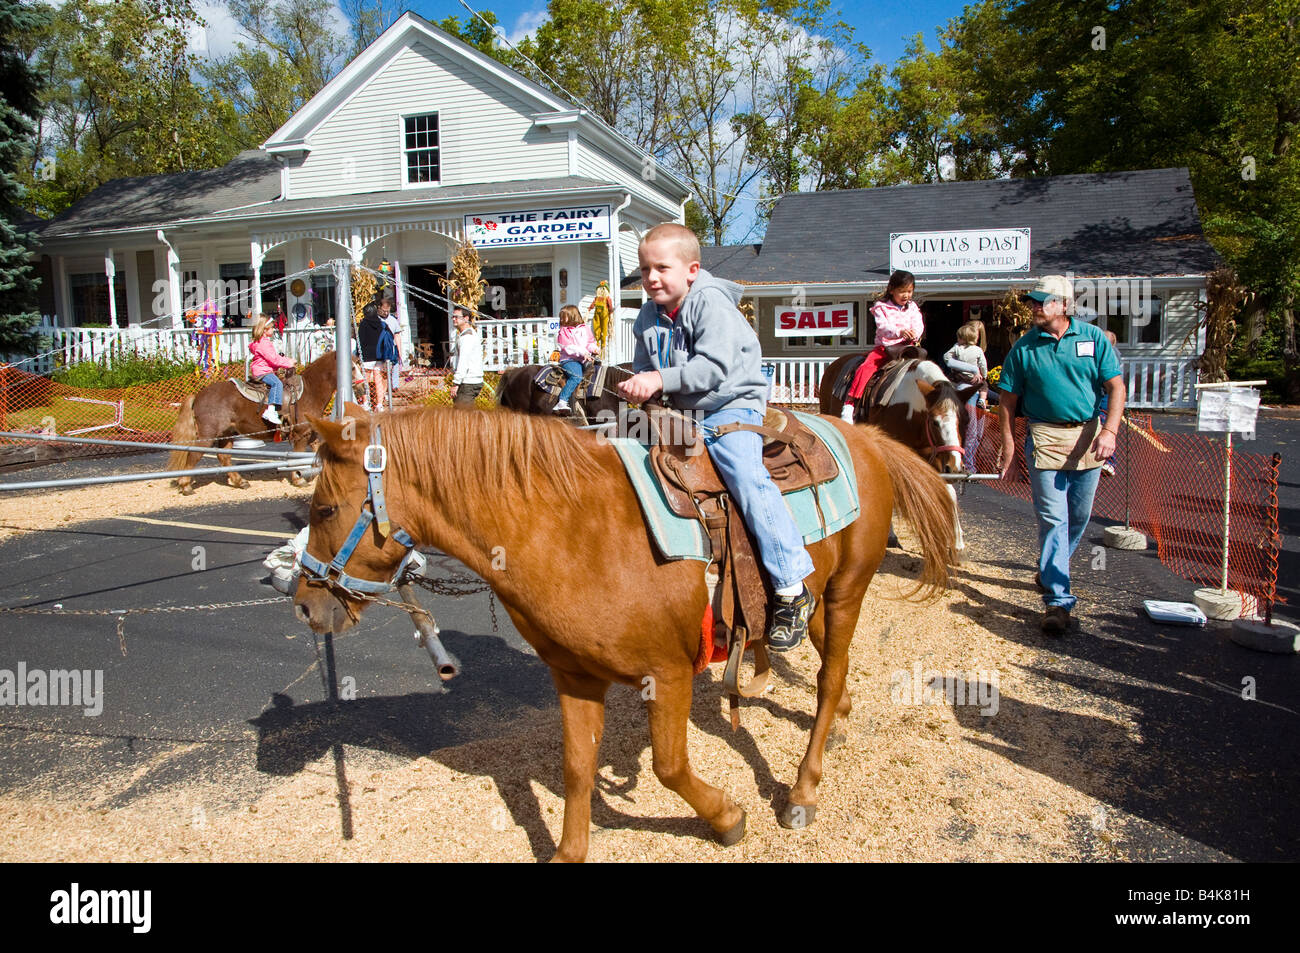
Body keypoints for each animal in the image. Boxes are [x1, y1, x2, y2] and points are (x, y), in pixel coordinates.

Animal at [167, 350, 353, 495]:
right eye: (353, 366)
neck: (309, 392)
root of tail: (198, 396)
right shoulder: (301, 434)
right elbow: (298, 455)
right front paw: (298, 480)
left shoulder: (311, 432)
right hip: (208, 435)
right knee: (194, 455)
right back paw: (185, 485)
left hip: (227, 433)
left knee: (223, 456)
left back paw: (239, 481)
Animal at [292, 402, 957, 862]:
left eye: (324, 509)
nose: (304, 605)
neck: (573, 530)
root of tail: (866, 438)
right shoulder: (575, 678)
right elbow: (576, 769)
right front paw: (569, 852)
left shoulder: (669, 673)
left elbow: (668, 767)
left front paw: (726, 818)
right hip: (820, 599)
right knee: (831, 672)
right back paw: (837, 723)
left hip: (847, 593)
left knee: (827, 678)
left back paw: (801, 792)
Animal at [820, 355, 980, 549]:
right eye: (935, 421)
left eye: (966, 419)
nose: (955, 467)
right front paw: (889, 535)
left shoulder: (936, 458)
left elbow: (949, 492)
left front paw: (957, 542)